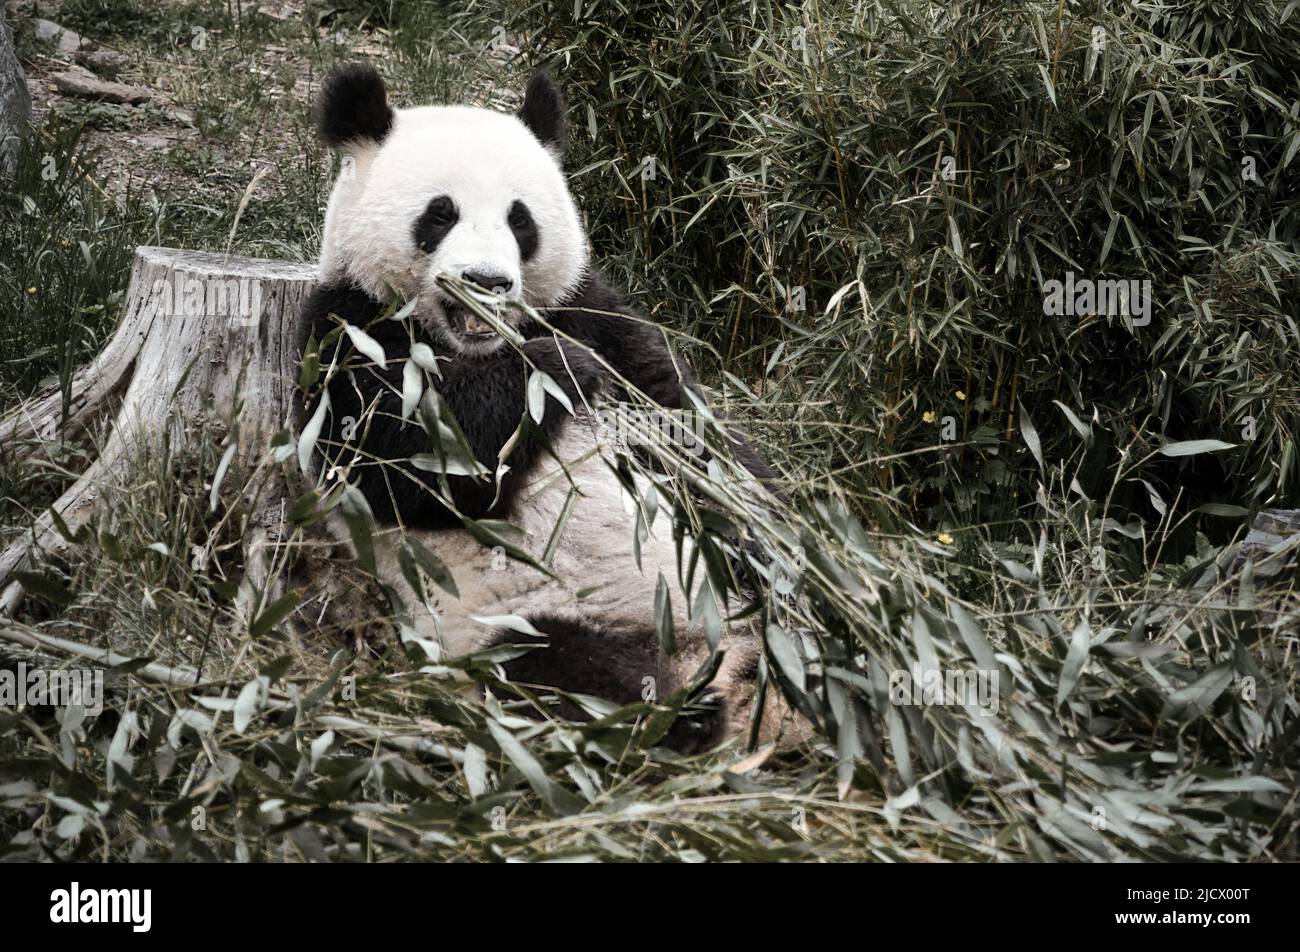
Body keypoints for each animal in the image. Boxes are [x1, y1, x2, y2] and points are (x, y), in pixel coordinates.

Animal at [296, 65, 803, 751]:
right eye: (440, 213)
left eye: (520, 220)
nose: (486, 282)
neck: (471, 343)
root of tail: (721, 654)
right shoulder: (348, 330)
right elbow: (399, 460)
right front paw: (558, 369)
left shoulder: (589, 310)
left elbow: (690, 433)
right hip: (523, 621)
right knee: (574, 675)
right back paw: (682, 715)